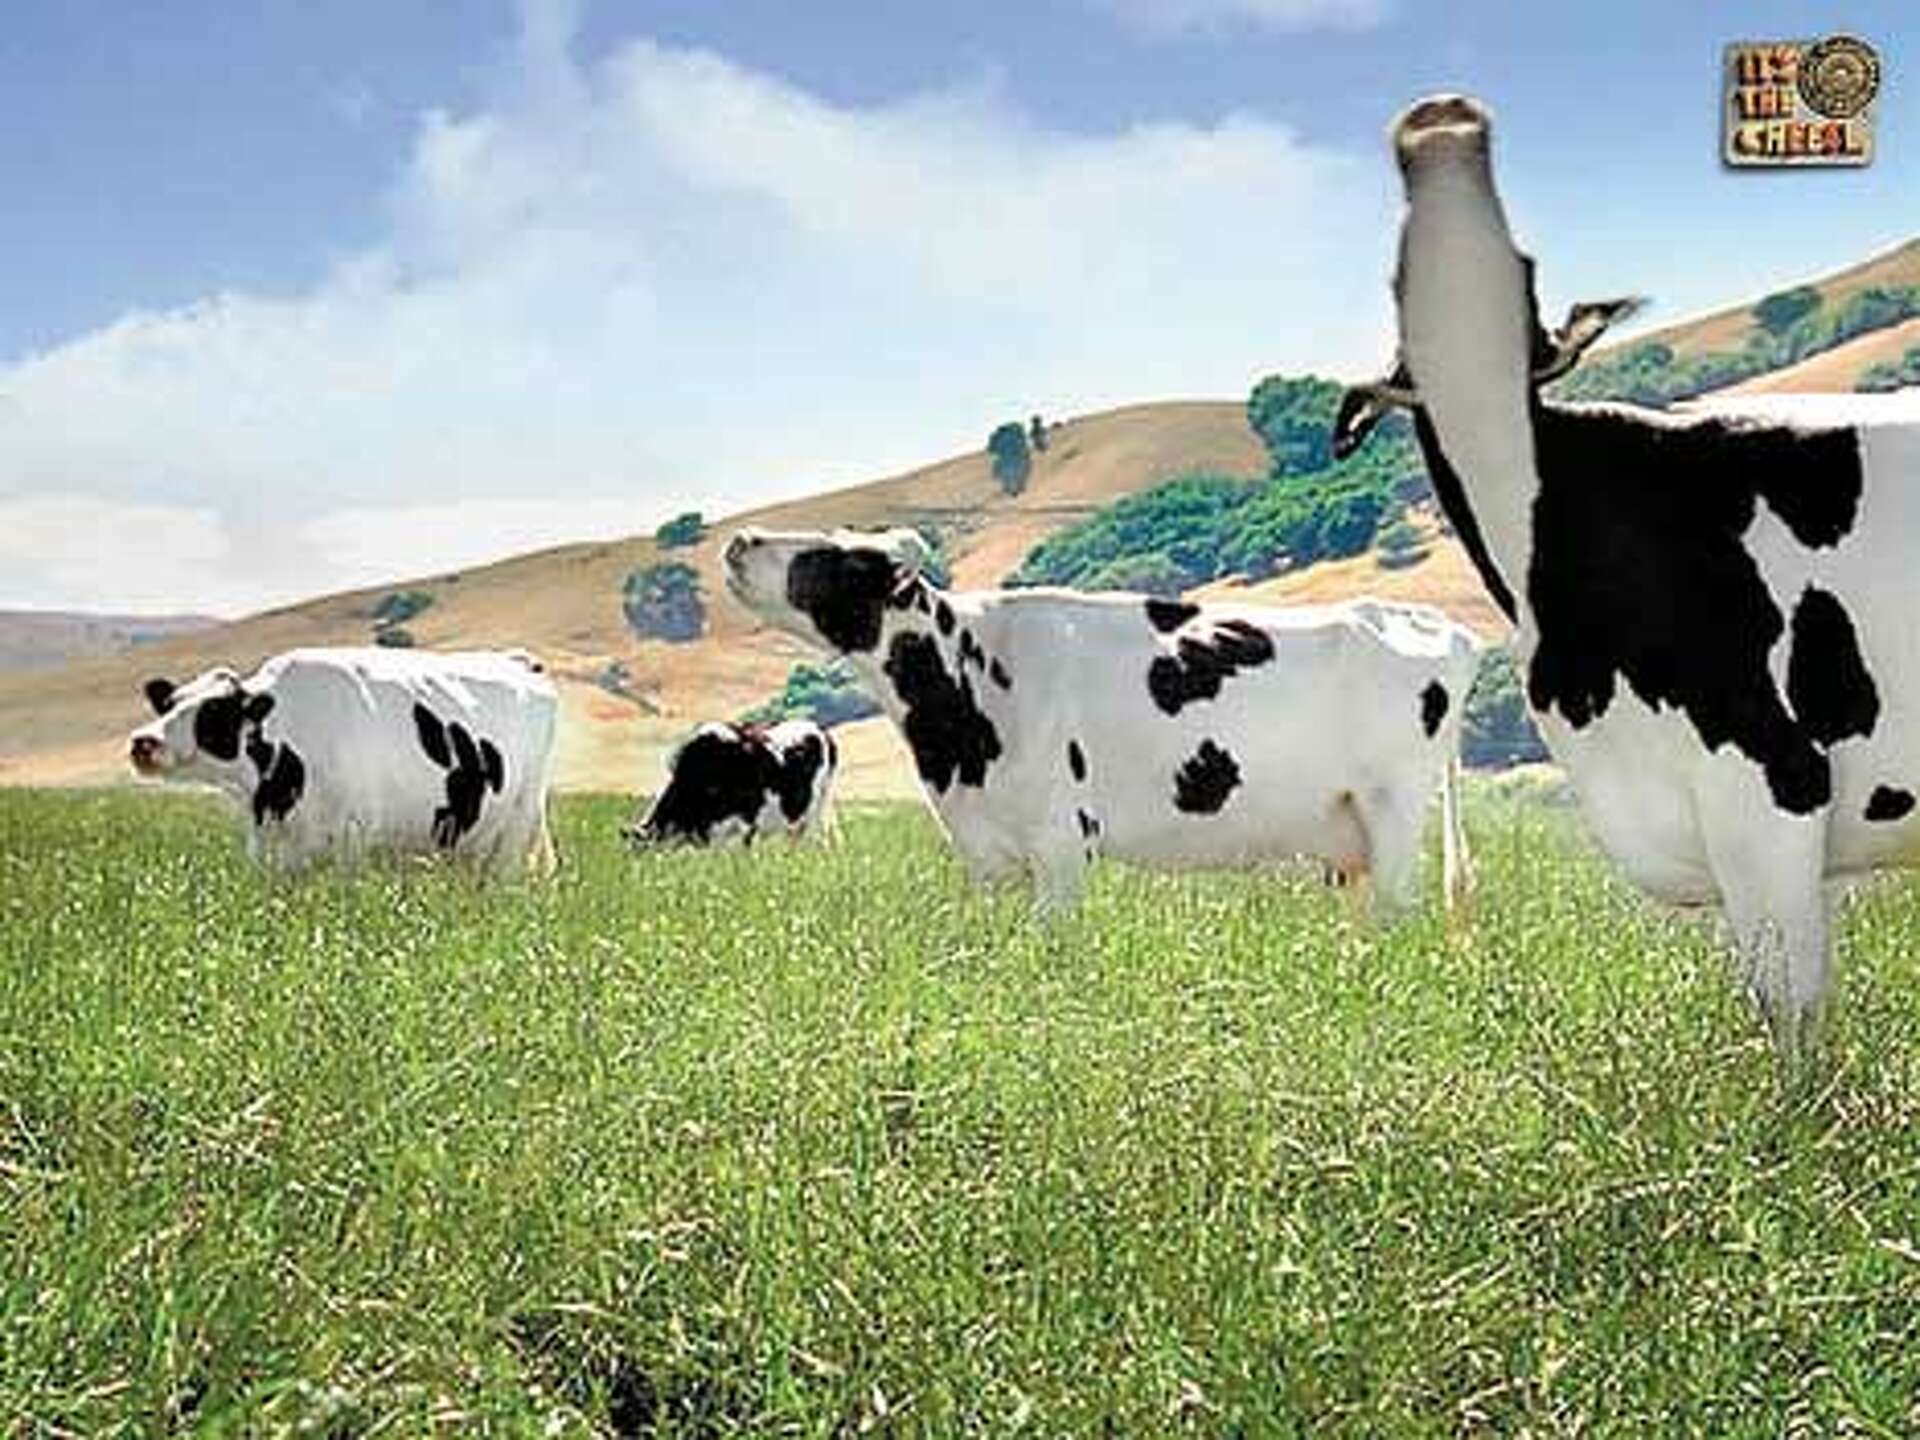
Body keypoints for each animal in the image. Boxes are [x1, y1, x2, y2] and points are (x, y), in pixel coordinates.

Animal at [129, 646, 559, 875]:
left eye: (215, 713)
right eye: (169, 704)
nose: (143, 742)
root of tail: (517, 660)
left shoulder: (351, 844)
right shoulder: (269, 849)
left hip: (517, 825)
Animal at [722, 526, 1479, 915]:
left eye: (833, 557)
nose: (741, 537)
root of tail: (1427, 620)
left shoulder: (1061, 842)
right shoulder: (988, 856)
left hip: (1394, 812)